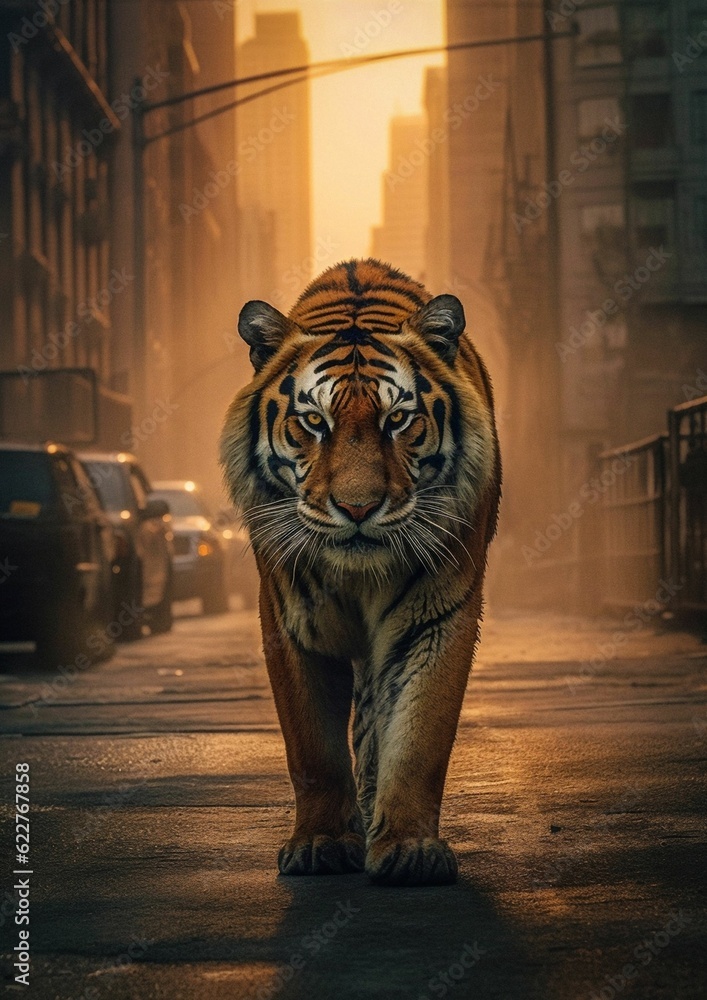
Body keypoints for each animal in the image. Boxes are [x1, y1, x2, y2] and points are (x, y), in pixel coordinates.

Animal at [220, 258, 501, 886]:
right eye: (313, 422)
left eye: (398, 420)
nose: (356, 507)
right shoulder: (289, 619)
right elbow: (314, 749)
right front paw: (321, 843)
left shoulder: (437, 616)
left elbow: (417, 737)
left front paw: (408, 848)